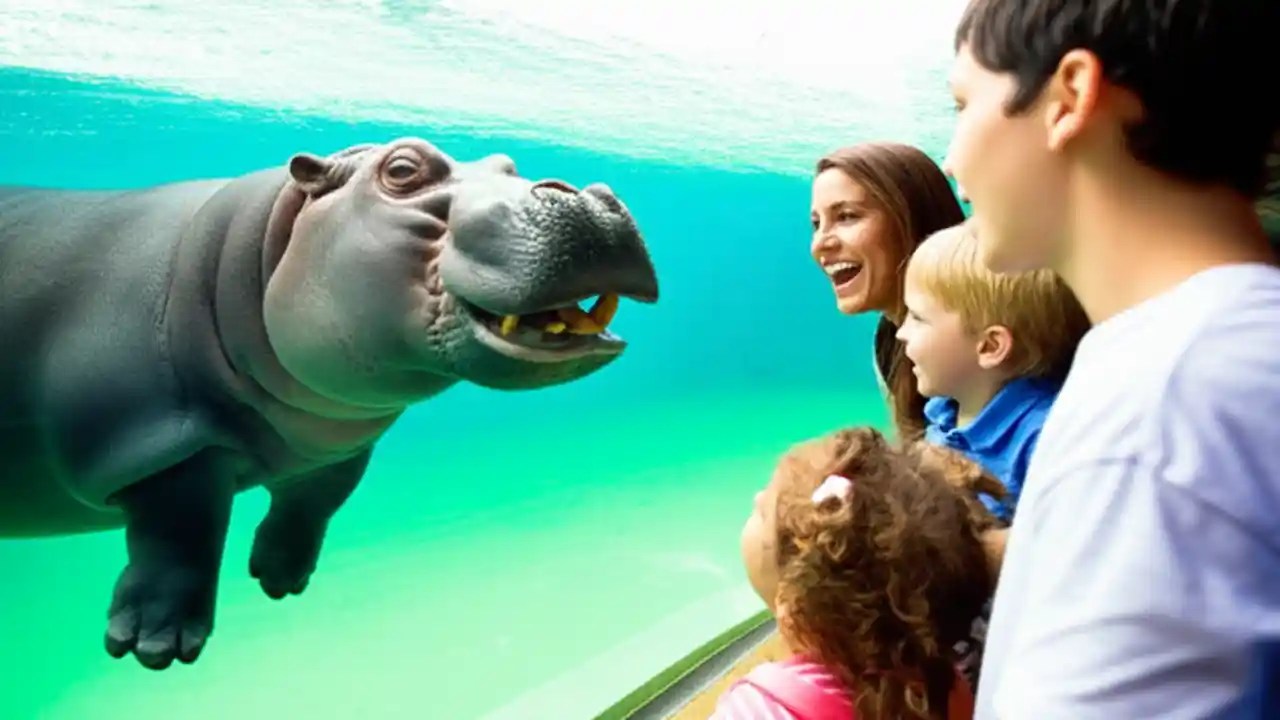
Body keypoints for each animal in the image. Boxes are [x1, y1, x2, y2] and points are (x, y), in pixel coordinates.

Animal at [0, 137, 659, 670]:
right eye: (402, 170)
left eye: (508, 166)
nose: (582, 194)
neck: (254, 249)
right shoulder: (165, 442)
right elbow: (183, 534)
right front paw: (153, 648)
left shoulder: (338, 437)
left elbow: (315, 503)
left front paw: (281, 580)